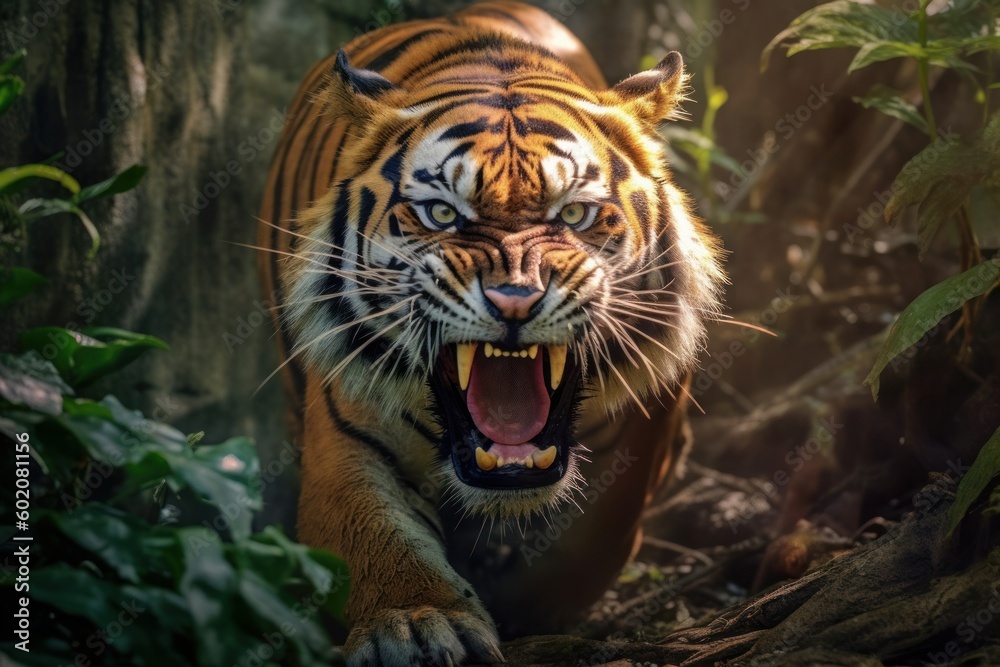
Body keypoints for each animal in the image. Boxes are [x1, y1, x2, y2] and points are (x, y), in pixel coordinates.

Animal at [257, 2, 724, 665]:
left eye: (574, 213)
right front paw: (418, 625)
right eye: (442, 213)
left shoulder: (641, 434)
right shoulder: (349, 430)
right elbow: (373, 541)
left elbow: (580, 556)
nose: (515, 299)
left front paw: (523, 614)